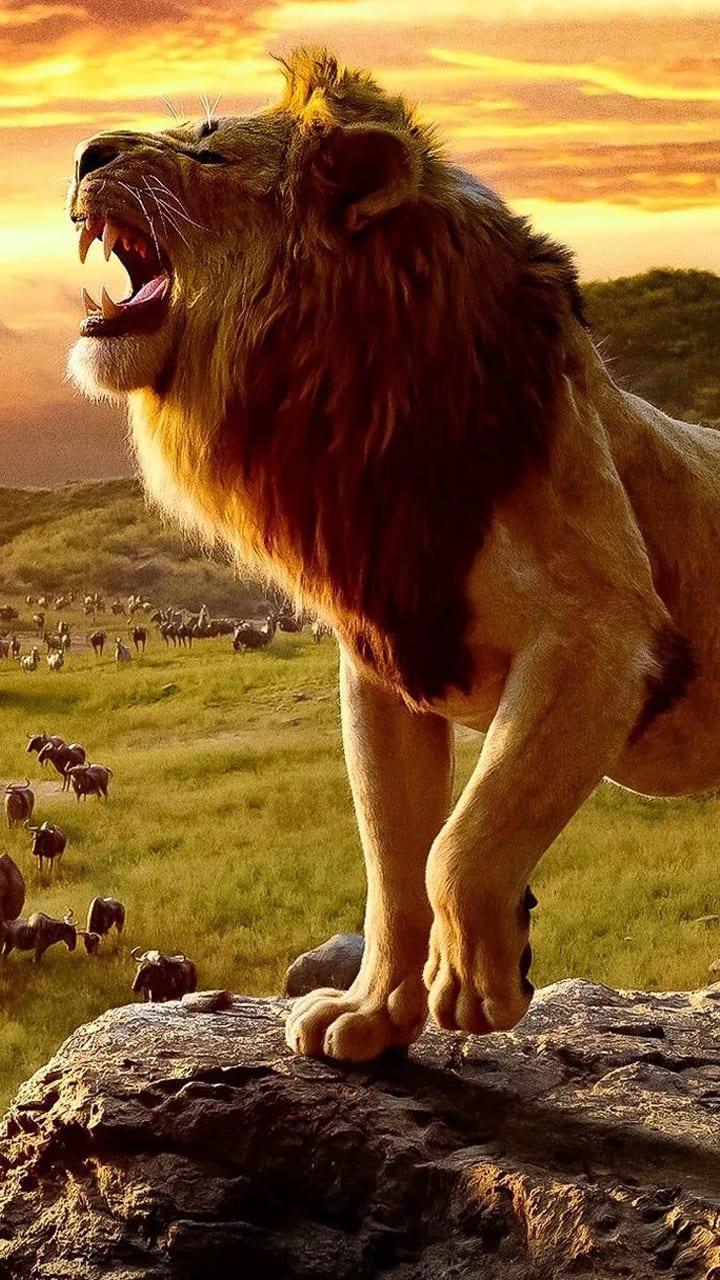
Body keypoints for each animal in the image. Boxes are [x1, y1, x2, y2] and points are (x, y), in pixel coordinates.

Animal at [67, 48, 719, 1062]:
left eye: (208, 151)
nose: (83, 154)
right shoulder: (382, 660)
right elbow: (393, 858)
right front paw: (370, 1016)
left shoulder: (604, 638)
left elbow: (461, 842)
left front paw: (480, 983)